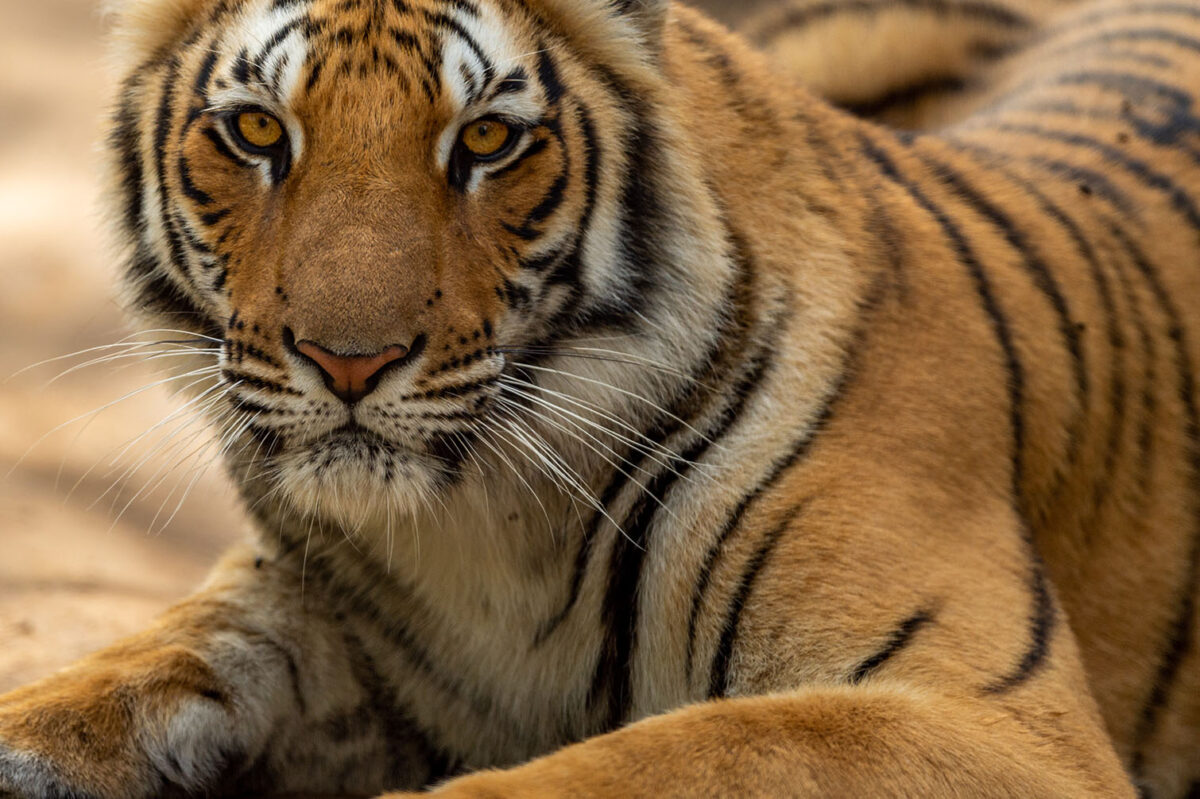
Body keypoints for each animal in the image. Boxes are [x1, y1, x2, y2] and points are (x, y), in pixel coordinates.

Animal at [0, 0, 1197, 794]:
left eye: (487, 138)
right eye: (257, 131)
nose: (348, 362)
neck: (482, 526)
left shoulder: (992, 721)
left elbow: (668, 754)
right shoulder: (305, 607)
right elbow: (137, 665)